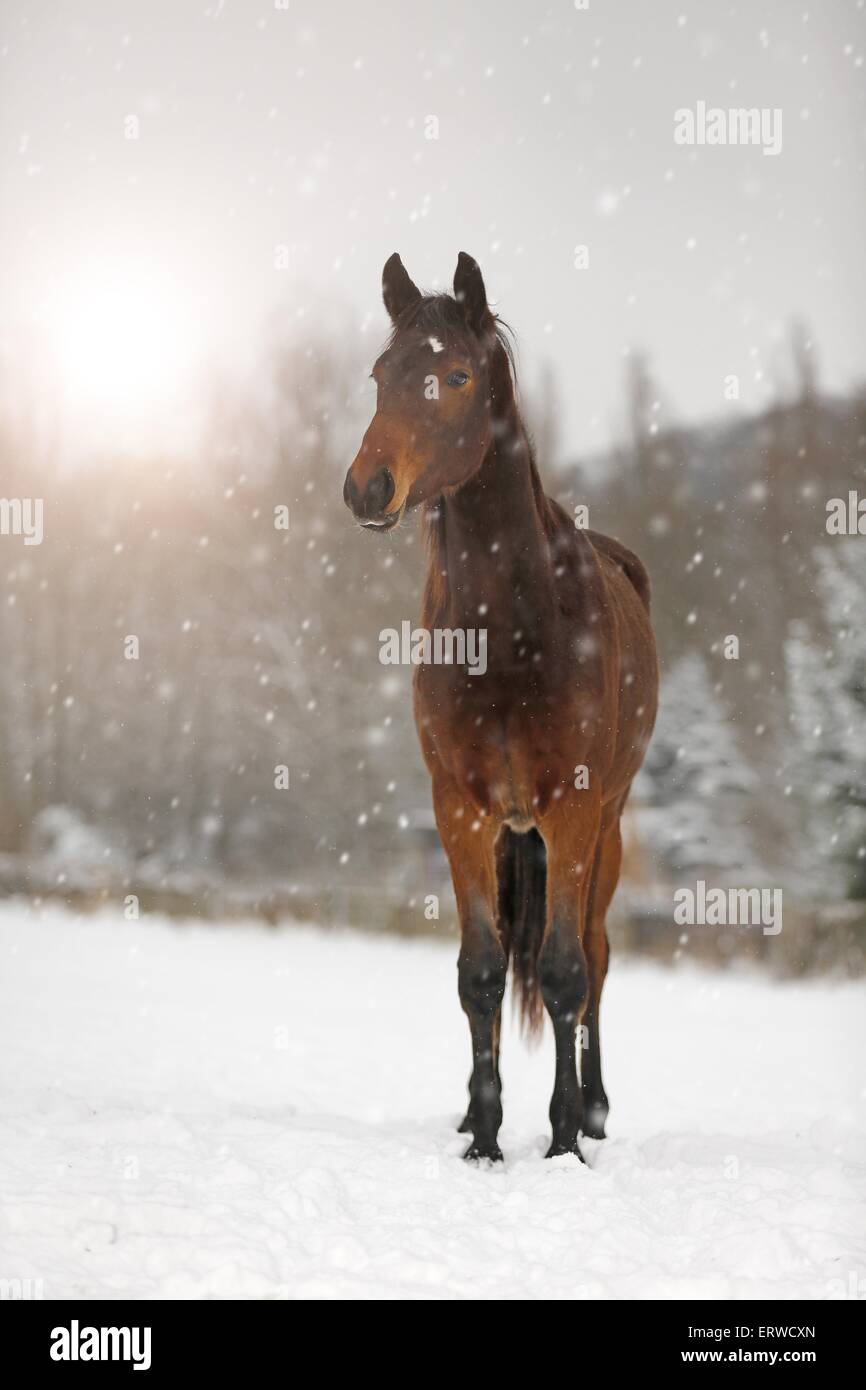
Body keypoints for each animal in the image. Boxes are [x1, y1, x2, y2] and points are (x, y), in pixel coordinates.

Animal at [343, 252, 659, 1162]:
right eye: (380, 374)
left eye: (455, 375)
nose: (367, 487)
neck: (512, 629)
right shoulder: (462, 810)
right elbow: (479, 973)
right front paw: (483, 1136)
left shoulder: (575, 811)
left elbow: (563, 972)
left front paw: (562, 1141)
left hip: (608, 826)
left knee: (596, 955)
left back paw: (595, 1108)